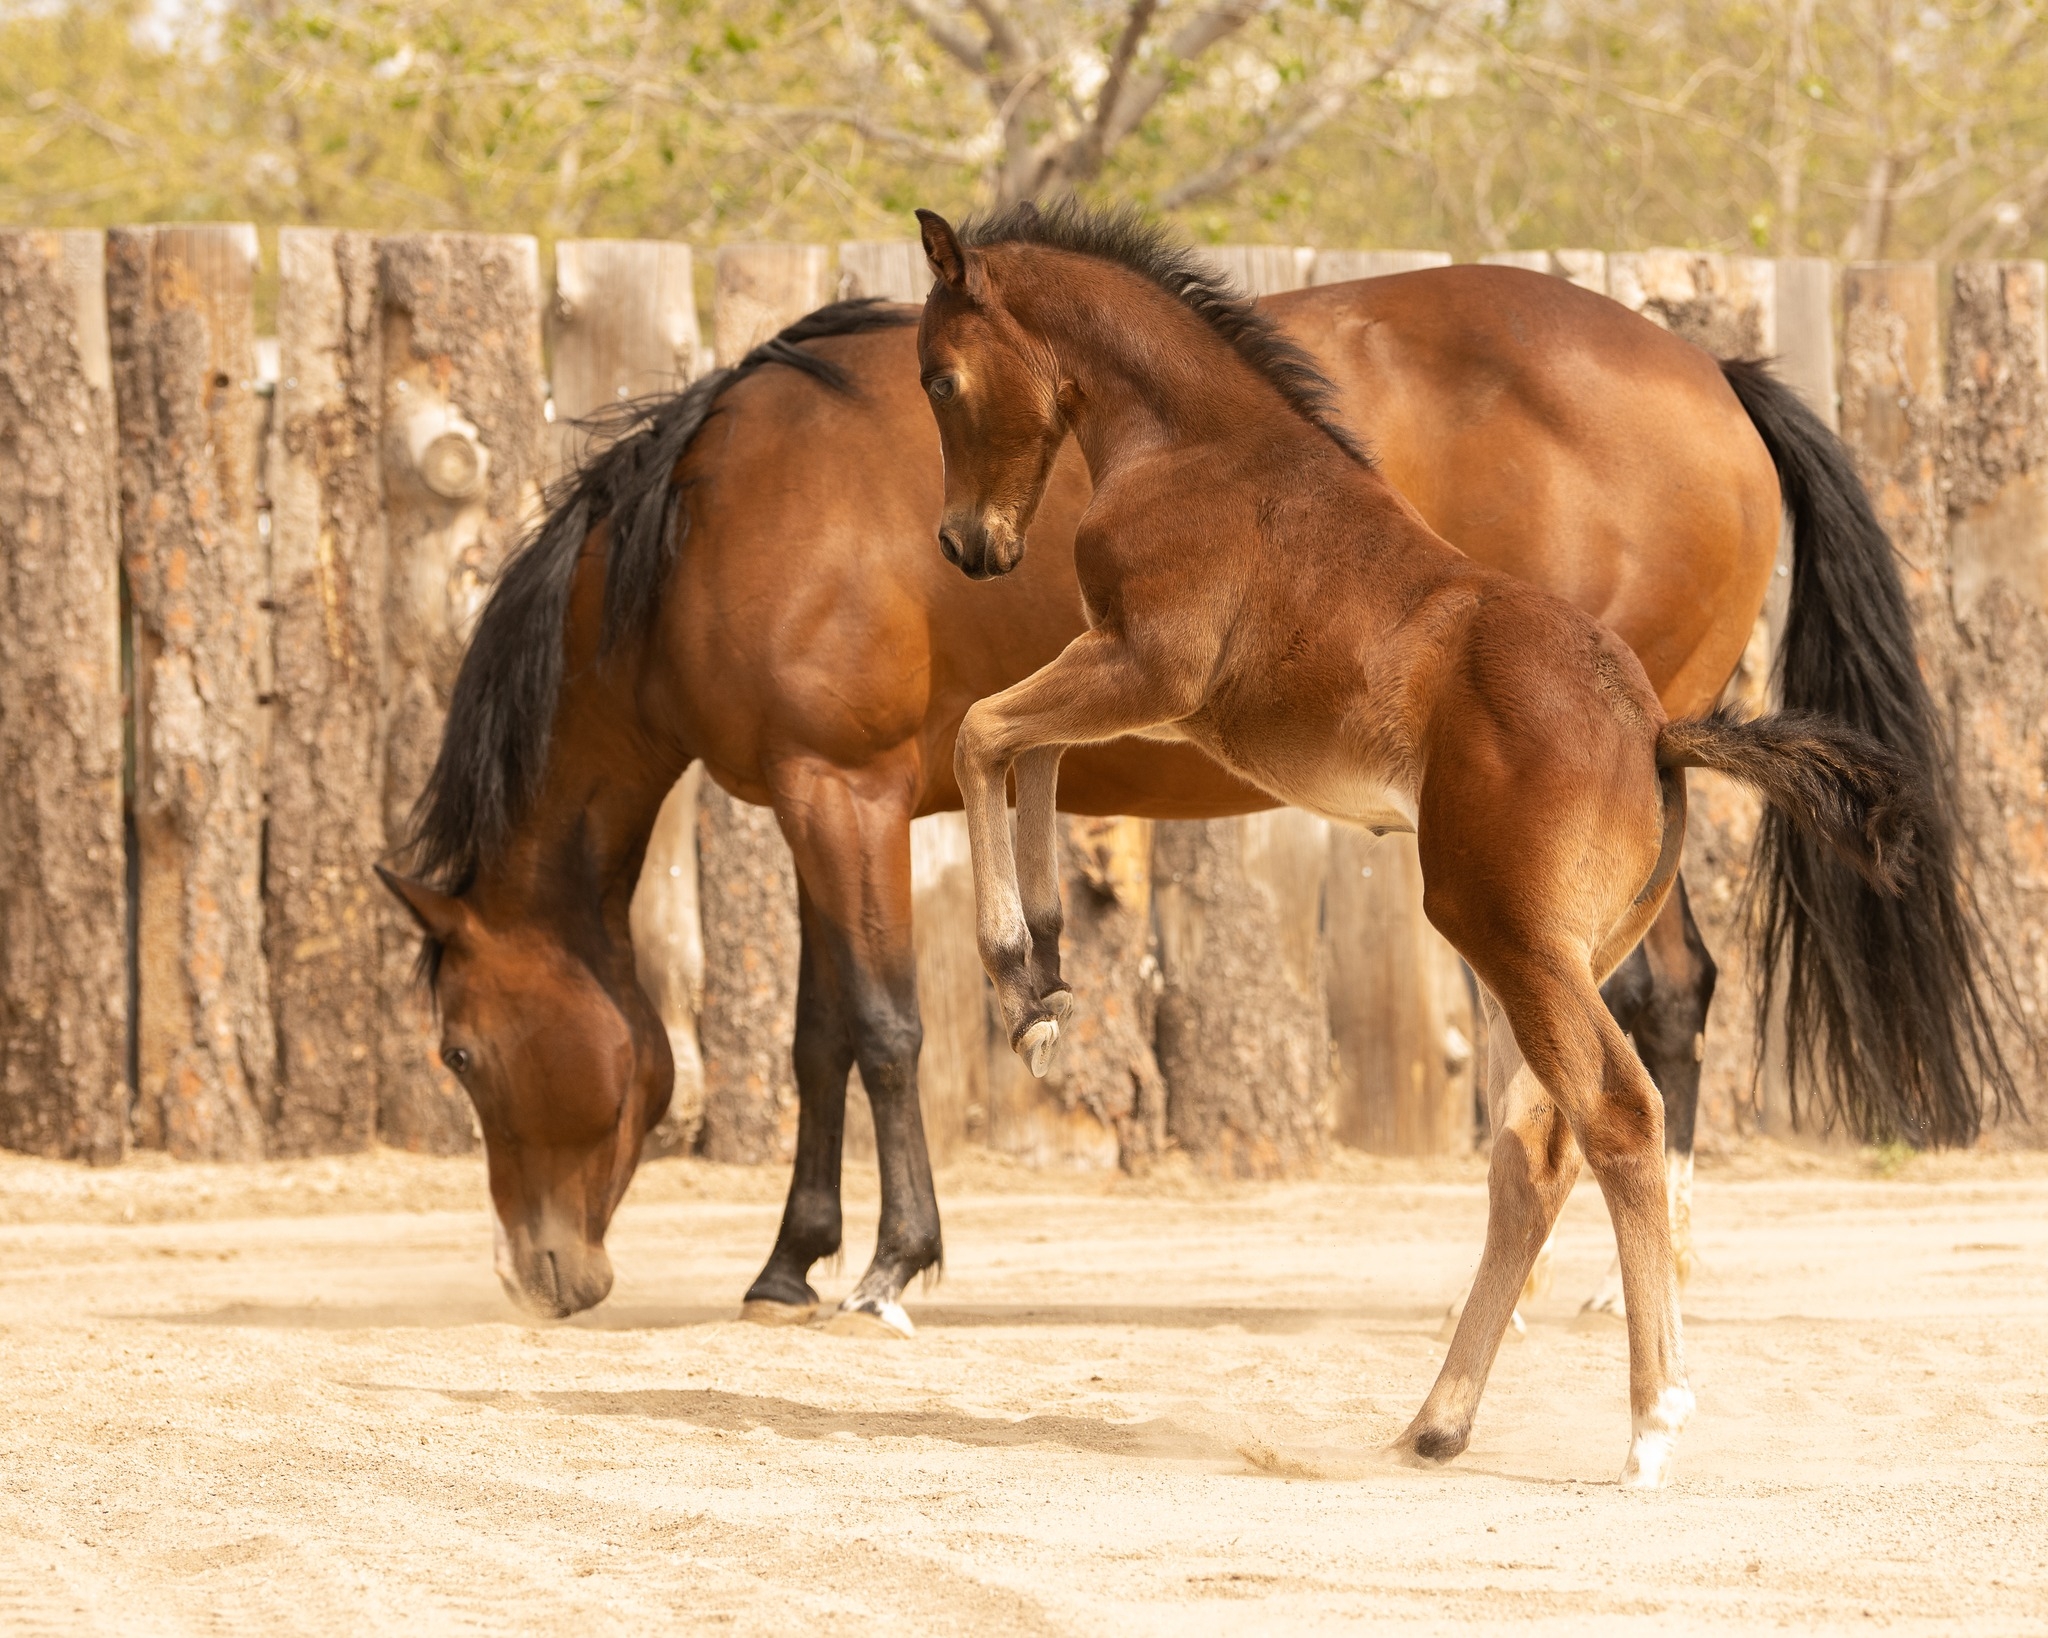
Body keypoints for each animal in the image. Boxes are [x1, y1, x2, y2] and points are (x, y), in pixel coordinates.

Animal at [380, 233, 2006, 1339]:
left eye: (460, 1052)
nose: (543, 1276)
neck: (709, 519)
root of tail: (1712, 372)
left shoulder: (835, 795)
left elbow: (883, 1031)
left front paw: (892, 1261)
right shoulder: (819, 804)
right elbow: (823, 1031)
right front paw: (792, 1259)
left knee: (1656, 1008)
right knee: (1660, 1003)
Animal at [912, 201, 1918, 1485]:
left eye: (939, 376)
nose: (966, 544)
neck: (1195, 446)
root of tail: (1653, 731)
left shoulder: (1145, 667)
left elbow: (985, 735)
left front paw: (1011, 966)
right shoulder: (1122, 679)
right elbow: (1028, 757)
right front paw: (1040, 979)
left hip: (1502, 935)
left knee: (1613, 1116)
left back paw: (1649, 1420)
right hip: (1561, 950)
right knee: (1533, 1150)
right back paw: (1438, 1420)